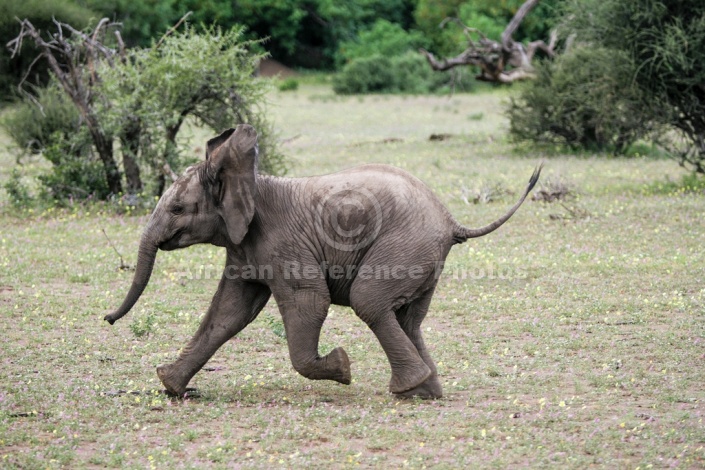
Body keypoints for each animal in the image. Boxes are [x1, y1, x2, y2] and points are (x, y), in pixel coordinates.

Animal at [105, 124, 541, 399]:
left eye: (178, 208)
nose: (107, 319)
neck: (250, 179)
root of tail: (451, 220)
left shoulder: (284, 245)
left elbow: (308, 302)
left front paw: (342, 368)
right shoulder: (244, 245)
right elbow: (229, 312)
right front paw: (170, 385)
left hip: (404, 246)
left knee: (370, 301)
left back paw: (406, 389)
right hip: (421, 257)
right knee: (408, 319)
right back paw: (425, 393)